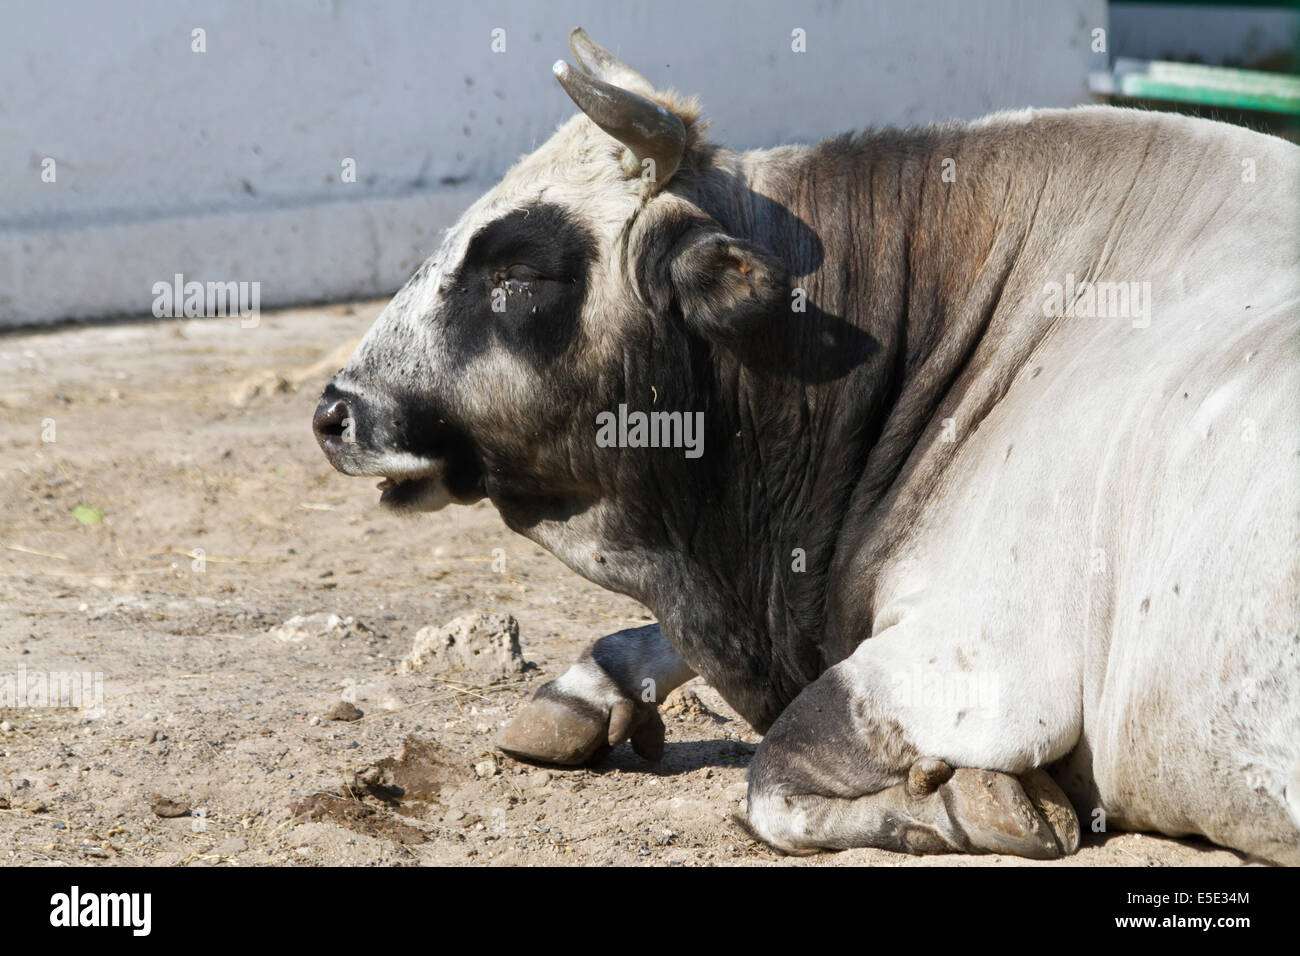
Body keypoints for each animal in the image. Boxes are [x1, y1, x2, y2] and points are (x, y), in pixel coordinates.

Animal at [313, 29, 1300, 863]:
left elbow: (773, 783)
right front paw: (582, 694)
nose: (333, 413)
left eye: (518, 272)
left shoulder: (977, 667)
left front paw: (972, 804)